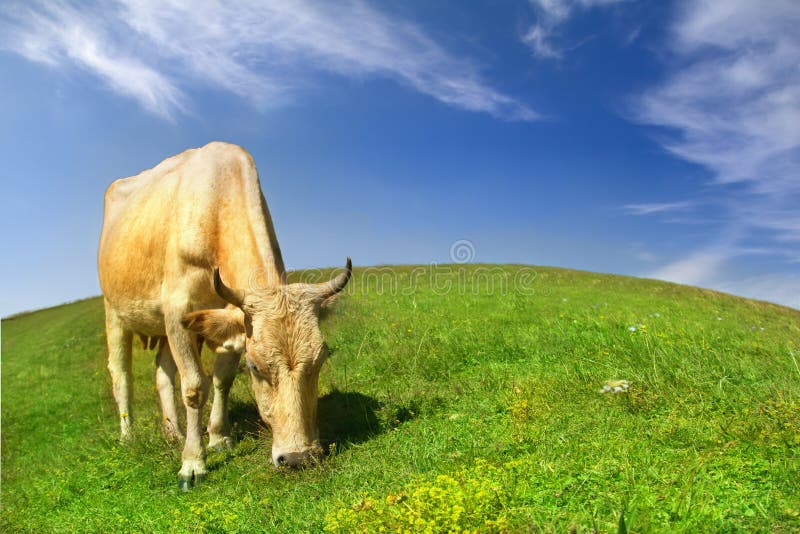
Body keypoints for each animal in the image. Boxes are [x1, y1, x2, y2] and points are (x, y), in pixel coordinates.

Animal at [98, 141, 351, 489]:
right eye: (255, 367)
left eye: (322, 358)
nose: (298, 457)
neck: (215, 209)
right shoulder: (178, 312)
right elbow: (194, 387)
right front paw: (192, 463)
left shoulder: (232, 323)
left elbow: (221, 378)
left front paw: (218, 437)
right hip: (115, 314)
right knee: (122, 377)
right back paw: (129, 436)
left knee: (163, 373)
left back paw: (173, 432)